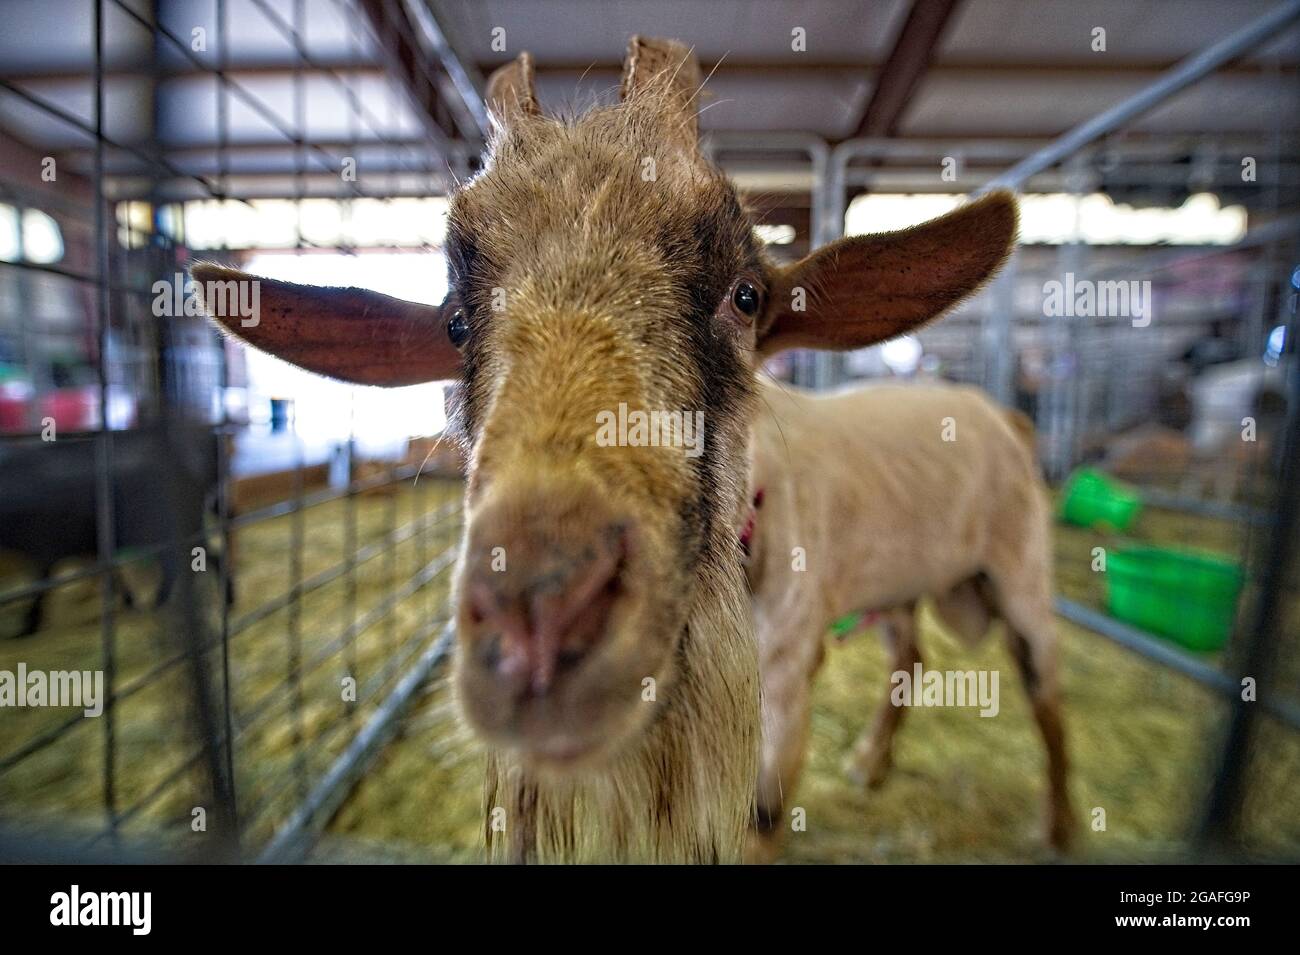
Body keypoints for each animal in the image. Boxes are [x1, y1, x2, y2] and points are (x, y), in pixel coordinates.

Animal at [744, 380, 1074, 862]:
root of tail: (1001, 414)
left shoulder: (785, 655)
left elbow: (763, 810)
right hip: (896, 581)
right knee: (910, 659)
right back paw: (870, 762)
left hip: (1023, 572)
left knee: (1047, 694)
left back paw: (1059, 827)